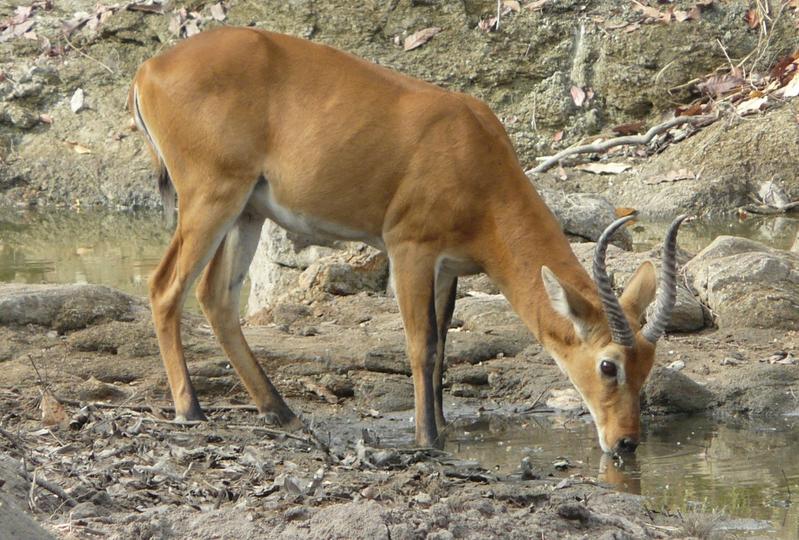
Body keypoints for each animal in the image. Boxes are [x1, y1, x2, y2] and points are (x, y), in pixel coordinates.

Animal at [131, 26, 688, 456]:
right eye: (608, 365)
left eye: (648, 365)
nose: (626, 442)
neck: (473, 154)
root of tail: (149, 69)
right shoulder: (409, 249)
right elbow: (420, 345)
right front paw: (428, 439)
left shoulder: (447, 266)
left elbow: (442, 345)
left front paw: (442, 427)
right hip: (212, 197)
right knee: (165, 287)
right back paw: (191, 410)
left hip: (247, 211)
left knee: (216, 297)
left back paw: (282, 412)